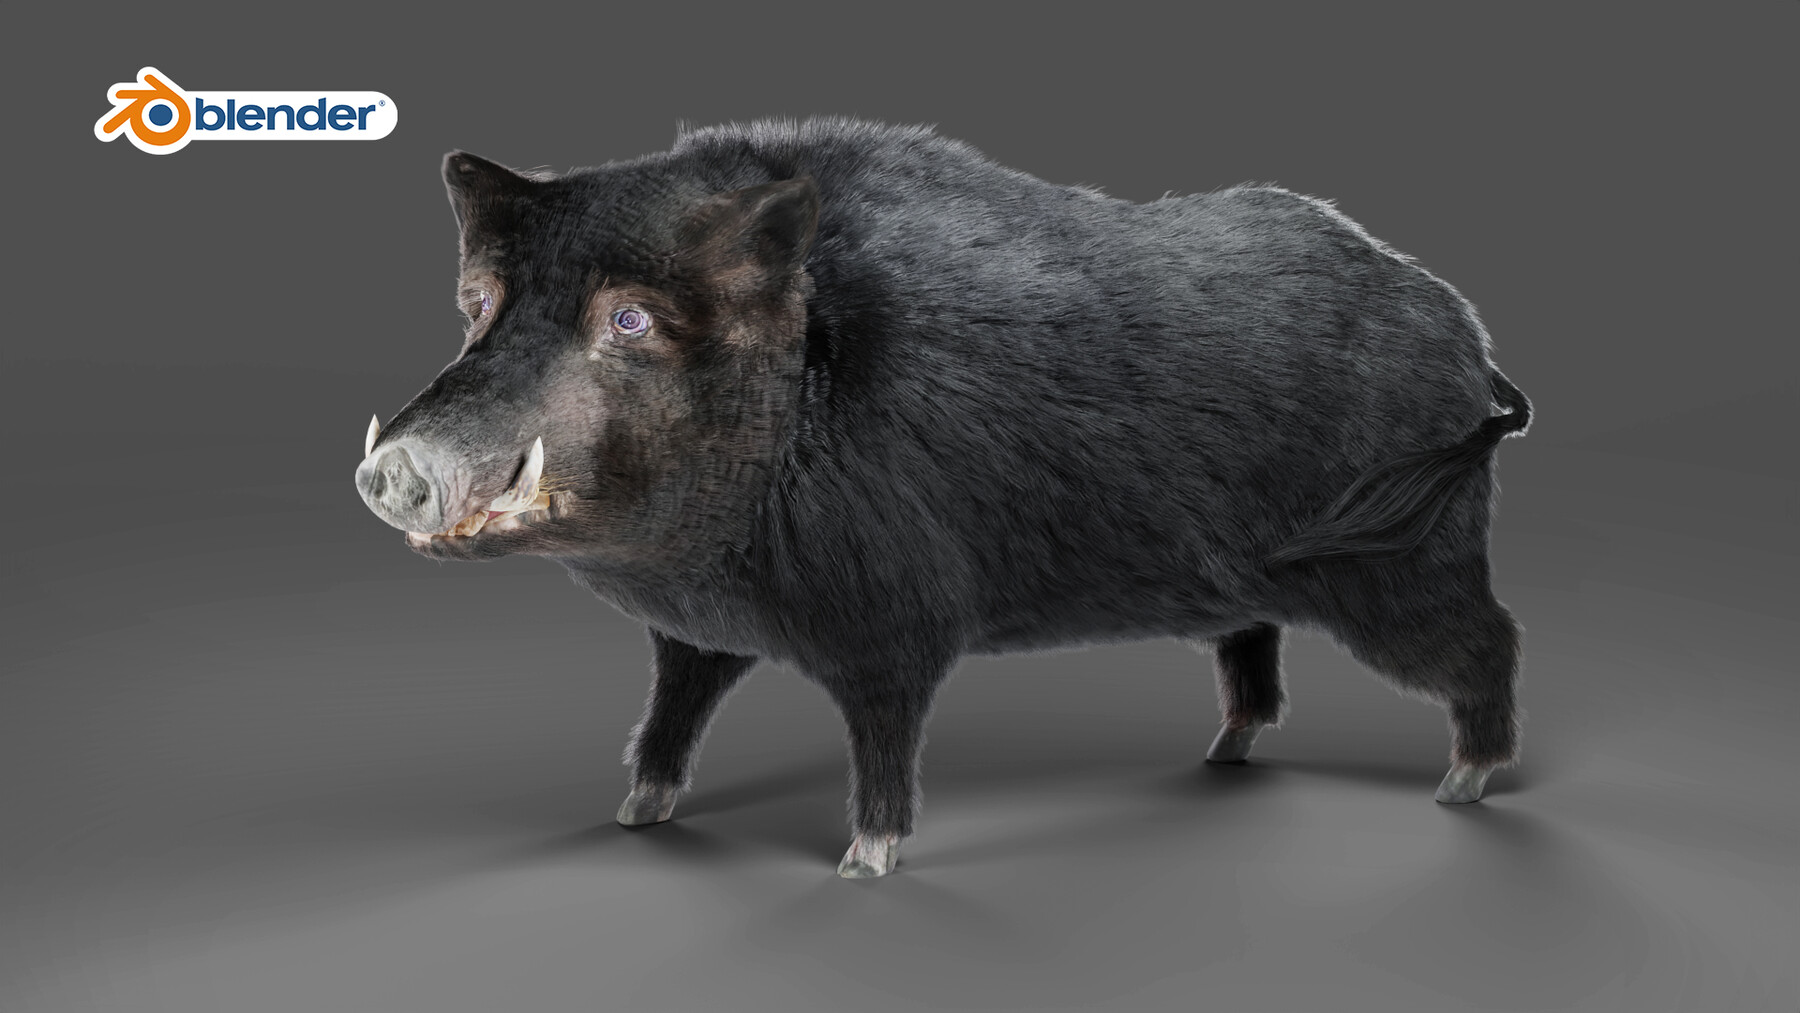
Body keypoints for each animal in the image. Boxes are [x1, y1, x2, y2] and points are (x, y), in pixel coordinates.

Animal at [354, 118, 1532, 878]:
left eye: (631, 318)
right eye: (481, 301)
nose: (392, 470)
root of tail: (1470, 339)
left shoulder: (896, 620)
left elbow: (884, 729)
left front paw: (862, 864)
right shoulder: (692, 632)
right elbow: (672, 709)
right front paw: (638, 816)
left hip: (1408, 559)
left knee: (1494, 639)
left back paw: (1464, 785)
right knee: (1255, 653)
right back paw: (1226, 753)